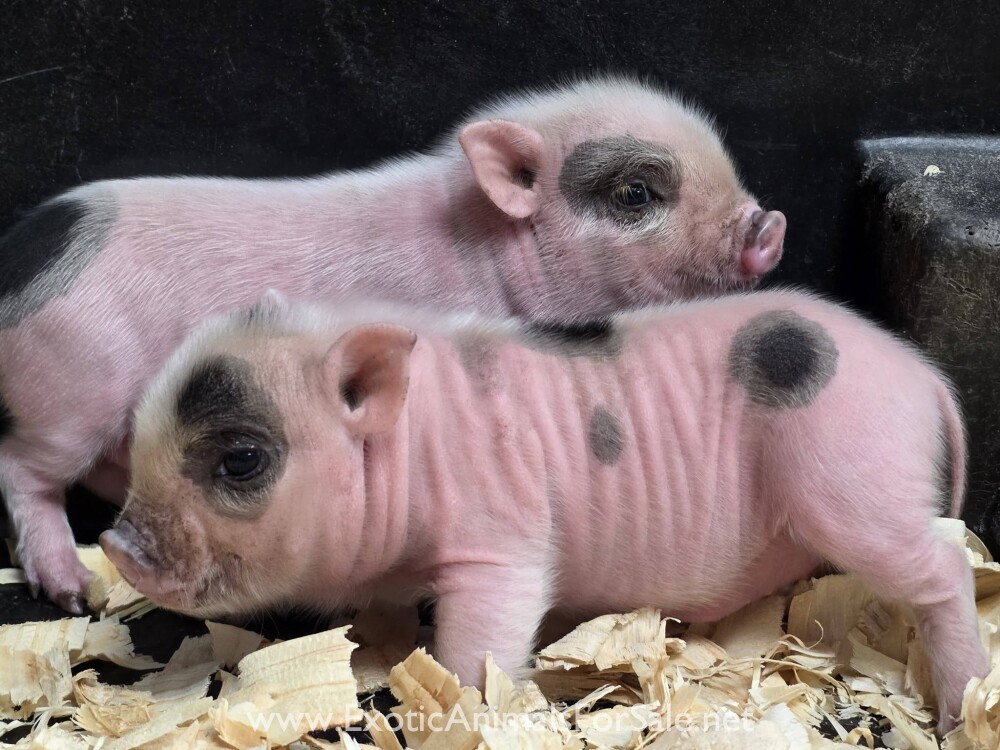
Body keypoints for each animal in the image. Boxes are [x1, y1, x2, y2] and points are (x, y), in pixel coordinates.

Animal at [0, 76, 787, 613]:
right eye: (635, 195)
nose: (770, 224)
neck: (493, 257)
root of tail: (21, 257)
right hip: (72, 390)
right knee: (24, 472)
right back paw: (73, 589)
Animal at [102, 290, 986, 734]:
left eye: (241, 460)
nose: (115, 544)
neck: (418, 441)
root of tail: (924, 378)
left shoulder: (500, 540)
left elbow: (483, 638)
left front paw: (460, 706)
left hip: (855, 485)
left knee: (945, 568)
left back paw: (959, 709)